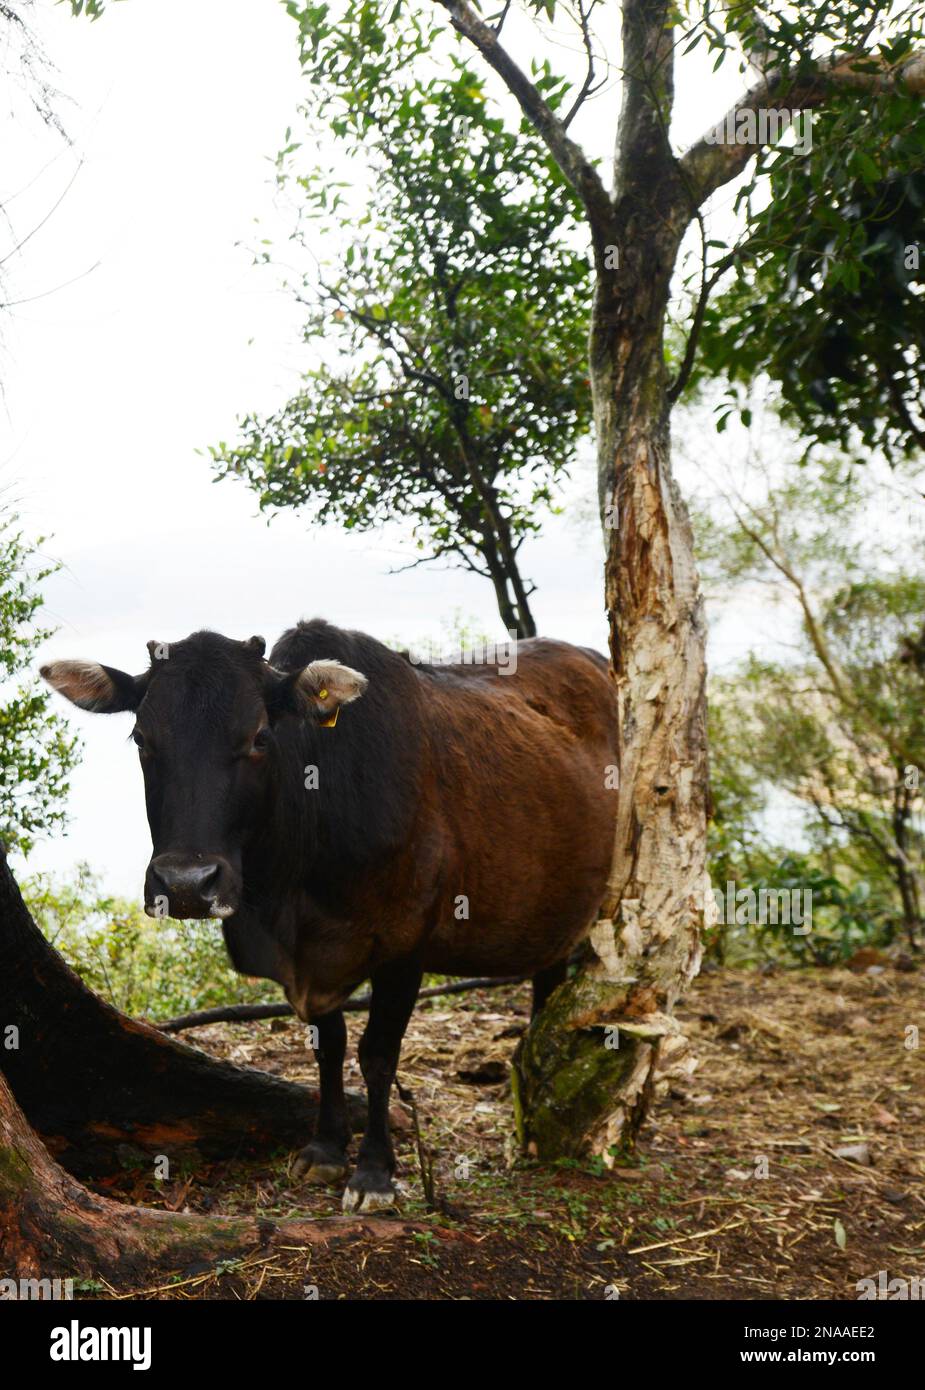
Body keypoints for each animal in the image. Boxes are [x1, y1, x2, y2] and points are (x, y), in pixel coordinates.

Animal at [42, 620, 619, 1209]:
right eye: (141, 739)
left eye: (260, 737)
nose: (184, 884)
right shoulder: (307, 962)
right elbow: (329, 1046)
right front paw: (325, 1148)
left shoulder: (404, 947)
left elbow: (378, 1054)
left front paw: (374, 1172)